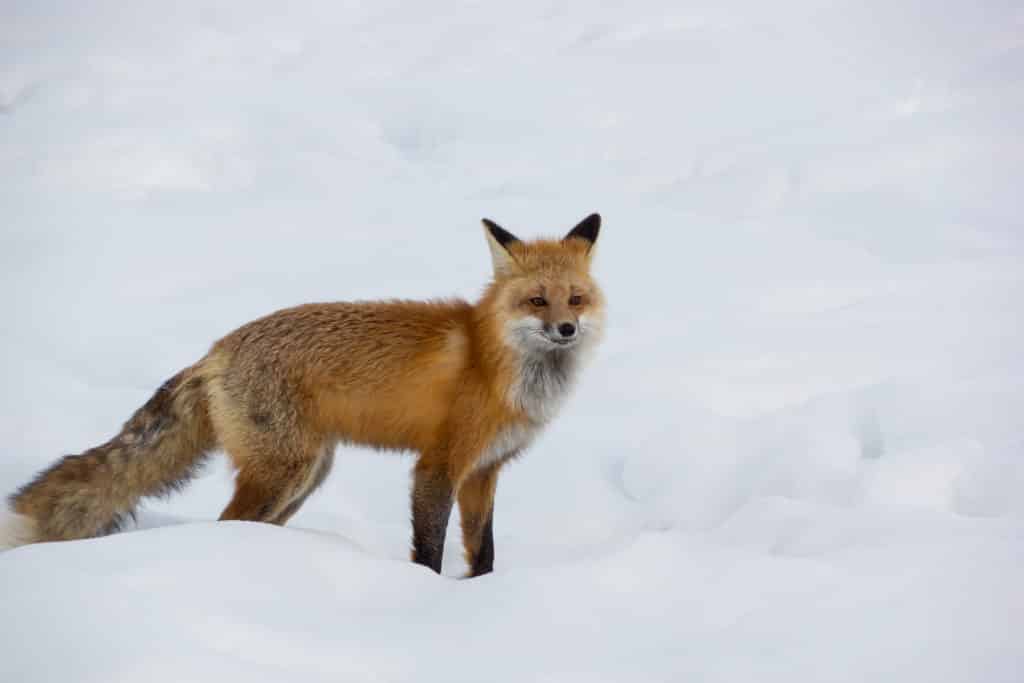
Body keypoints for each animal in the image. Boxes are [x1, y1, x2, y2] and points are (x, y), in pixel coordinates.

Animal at [1, 214, 605, 576]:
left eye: (575, 299)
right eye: (536, 301)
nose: (566, 329)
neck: (495, 362)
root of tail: (218, 348)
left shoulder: (484, 470)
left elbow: (484, 549)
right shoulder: (438, 465)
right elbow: (430, 547)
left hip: (307, 473)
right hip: (285, 470)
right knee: (227, 522)